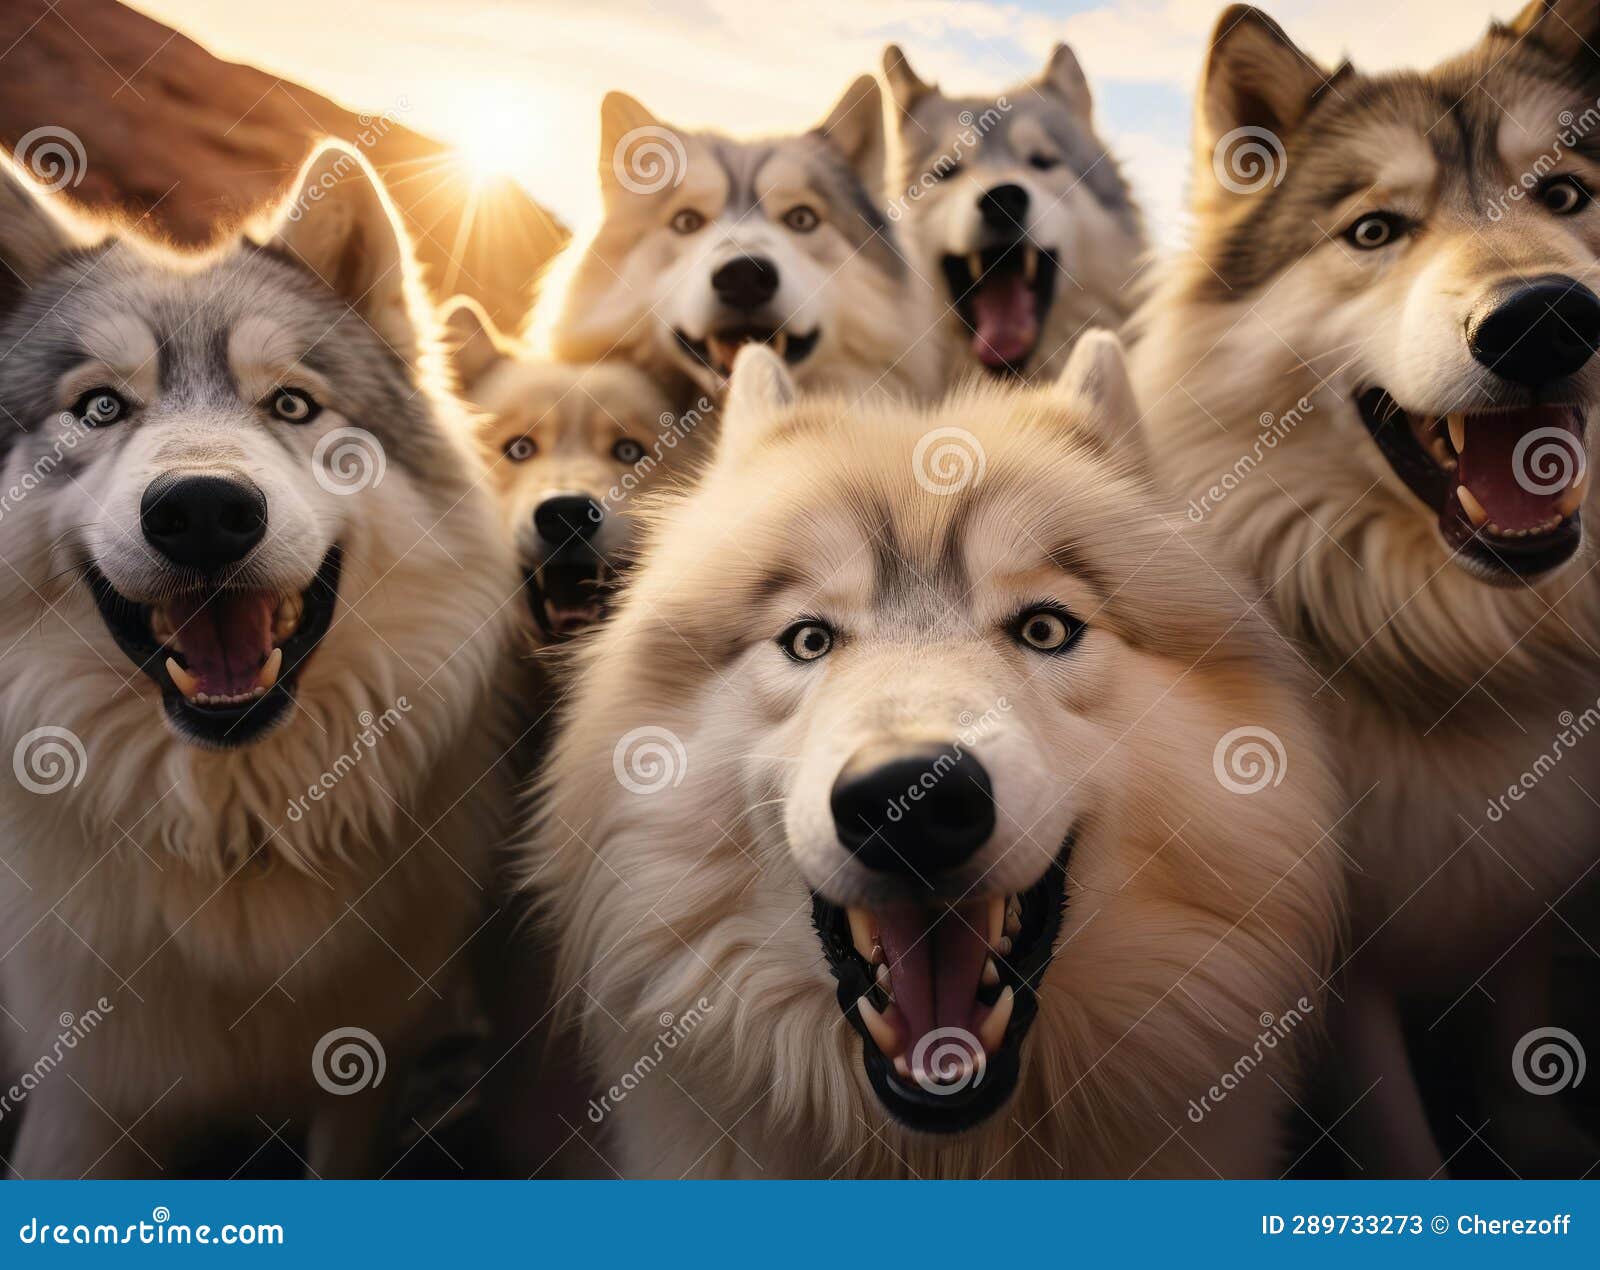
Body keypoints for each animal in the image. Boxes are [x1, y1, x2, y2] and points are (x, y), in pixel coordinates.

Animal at [0, 142, 520, 1177]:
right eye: (100, 407)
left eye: (291, 403)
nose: (202, 509)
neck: (232, 833)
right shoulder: (84, 1110)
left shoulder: (360, 1076)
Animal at [1132, 1, 1600, 1175]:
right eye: (1376, 231)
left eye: (1567, 195)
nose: (1544, 317)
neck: (1454, 646)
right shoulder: (1339, 980)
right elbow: (1397, 1138)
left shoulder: (1519, 893)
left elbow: (1521, 1056)